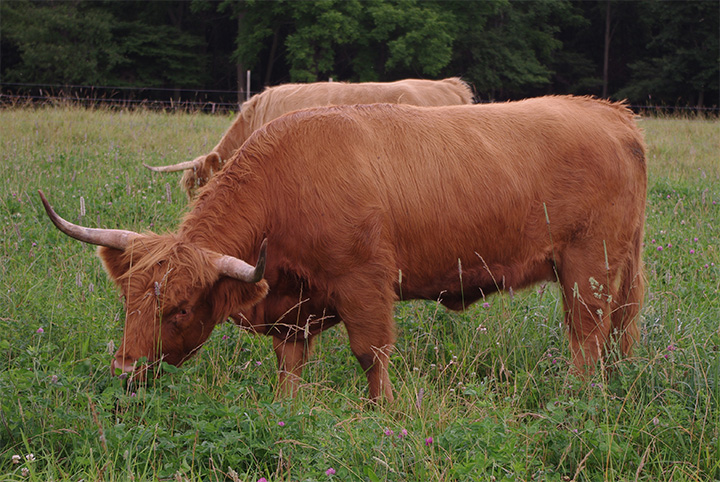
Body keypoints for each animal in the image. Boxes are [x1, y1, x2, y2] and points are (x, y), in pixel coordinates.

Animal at [40, 96, 647, 402]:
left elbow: (371, 355)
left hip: (589, 268)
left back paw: (575, 402)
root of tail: (610, 112)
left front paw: (385, 412)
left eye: (181, 308)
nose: (126, 370)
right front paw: (286, 411)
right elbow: (289, 364)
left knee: (586, 339)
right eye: (129, 301)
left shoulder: (364, 283)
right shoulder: (292, 305)